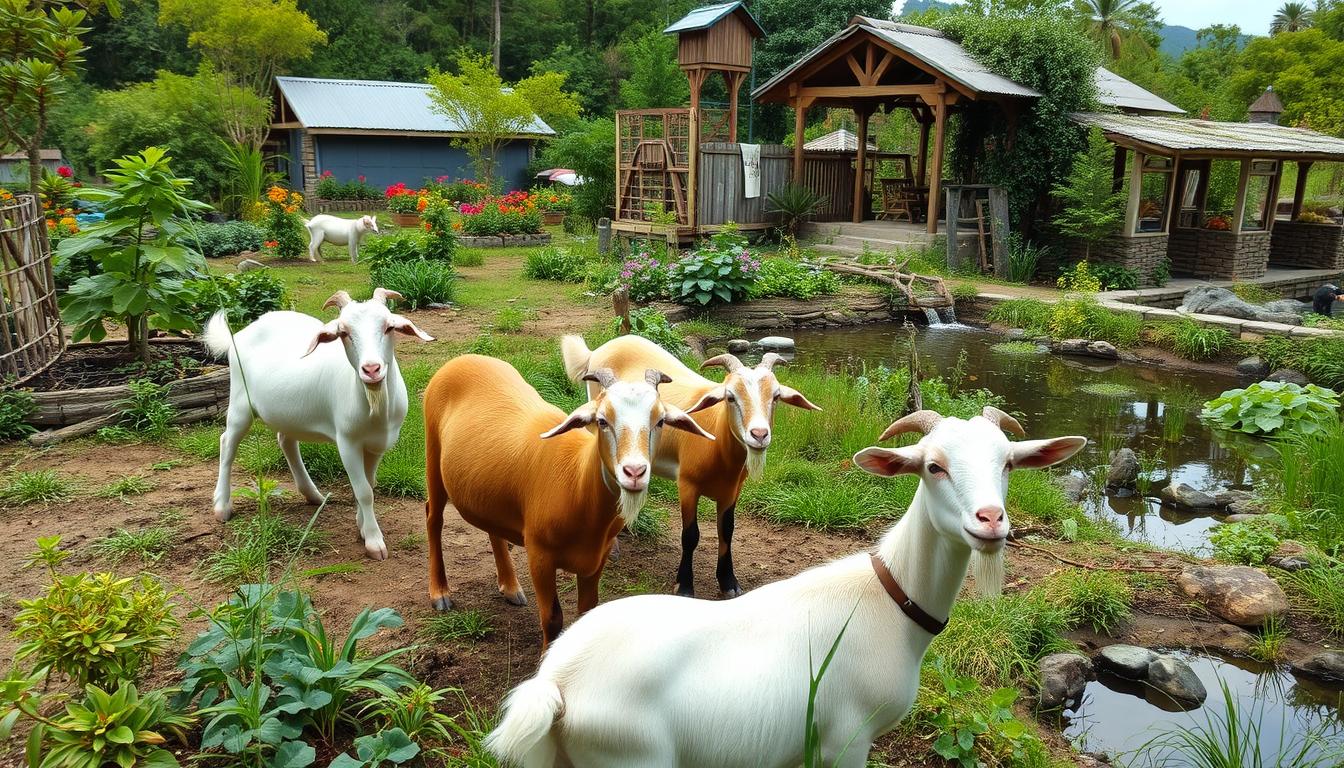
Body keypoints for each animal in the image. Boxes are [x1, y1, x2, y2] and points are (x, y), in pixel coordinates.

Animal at [204, 288, 434, 559]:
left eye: (389, 327)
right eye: (343, 333)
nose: (371, 369)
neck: (375, 406)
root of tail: (238, 336)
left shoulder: (377, 444)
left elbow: (368, 485)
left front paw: (362, 526)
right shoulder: (347, 442)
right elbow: (363, 491)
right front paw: (374, 541)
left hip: (288, 412)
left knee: (286, 441)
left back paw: (312, 494)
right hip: (241, 403)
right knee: (227, 444)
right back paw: (222, 506)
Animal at [423, 355, 714, 646]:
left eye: (660, 421)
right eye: (602, 421)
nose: (634, 472)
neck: (578, 483)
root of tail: (464, 358)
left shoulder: (597, 558)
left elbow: (586, 611)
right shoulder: (539, 555)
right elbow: (552, 619)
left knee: (492, 528)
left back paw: (510, 587)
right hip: (432, 451)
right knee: (433, 517)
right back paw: (440, 593)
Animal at [485, 407, 1086, 768]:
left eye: (1008, 463)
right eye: (932, 466)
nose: (991, 521)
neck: (888, 601)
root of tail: (557, 683)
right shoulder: (849, 738)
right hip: (633, 757)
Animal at [562, 335, 819, 598]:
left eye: (776, 397)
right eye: (730, 397)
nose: (759, 435)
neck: (716, 434)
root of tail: (599, 349)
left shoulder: (732, 491)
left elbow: (727, 531)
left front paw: (728, 582)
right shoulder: (687, 484)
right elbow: (690, 535)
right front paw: (684, 585)